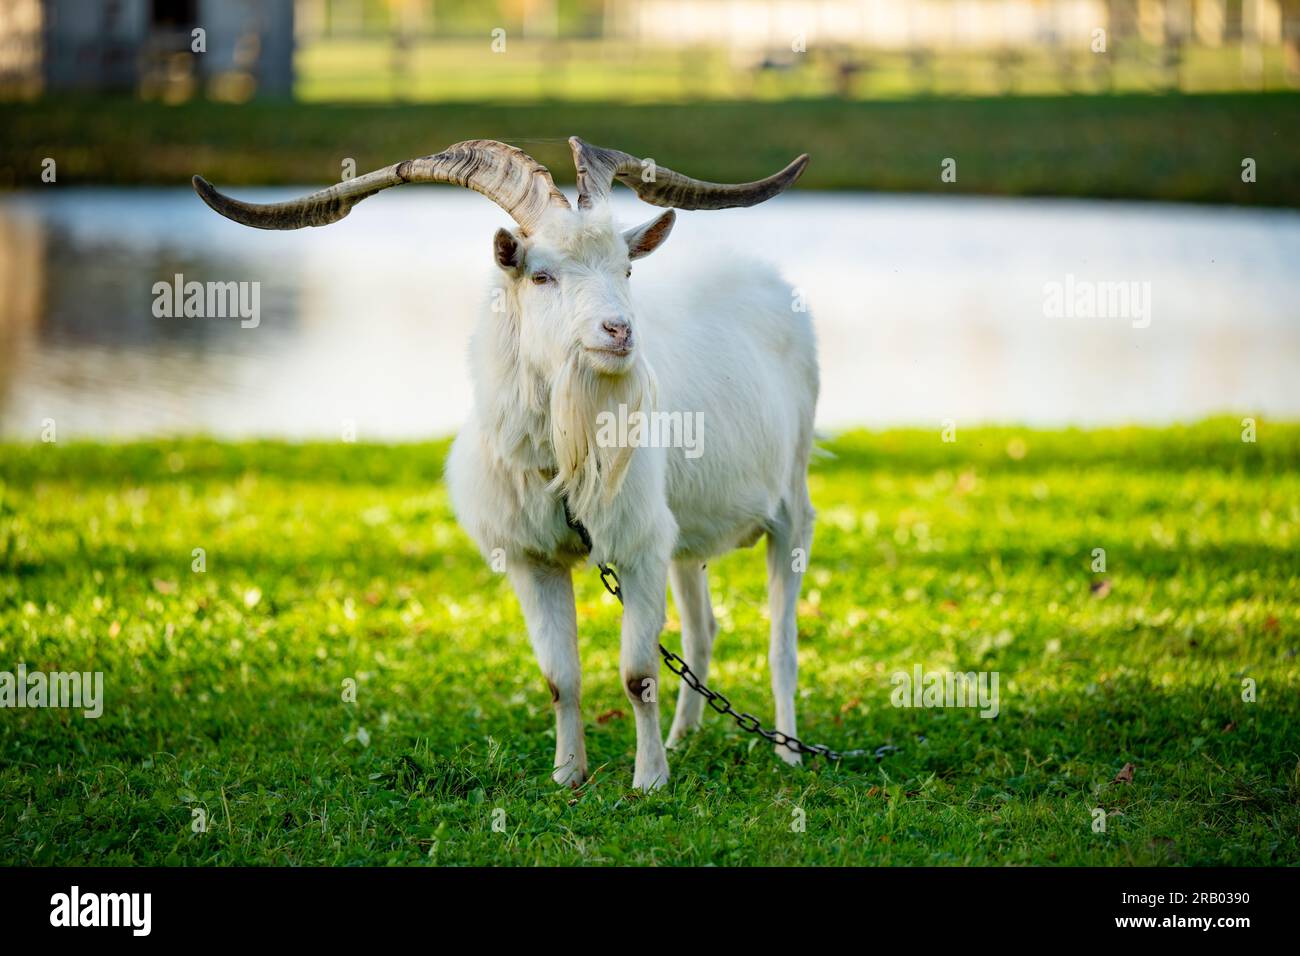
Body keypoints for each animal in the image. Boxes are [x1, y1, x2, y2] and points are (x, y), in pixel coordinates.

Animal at [192, 139, 818, 790]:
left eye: (625, 269)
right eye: (541, 274)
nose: (619, 332)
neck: (559, 454)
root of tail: (765, 279)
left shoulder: (638, 548)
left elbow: (638, 675)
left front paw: (649, 781)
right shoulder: (533, 559)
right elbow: (560, 677)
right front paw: (568, 775)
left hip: (791, 504)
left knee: (782, 640)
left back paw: (788, 753)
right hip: (686, 534)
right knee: (702, 628)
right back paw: (685, 738)